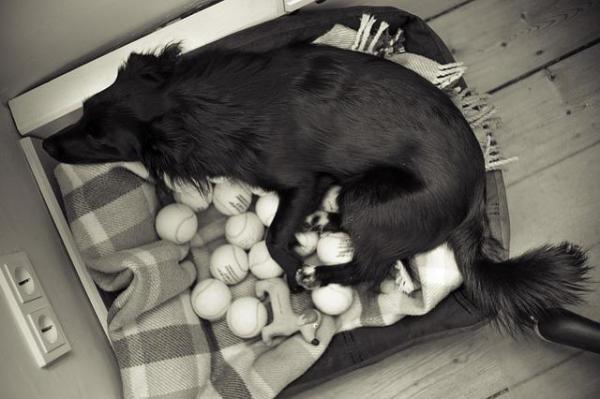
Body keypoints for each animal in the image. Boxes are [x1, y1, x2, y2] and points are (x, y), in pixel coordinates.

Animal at [44, 43, 588, 332]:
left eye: (99, 139)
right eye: (85, 109)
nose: (47, 145)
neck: (197, 100)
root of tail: (475, 202)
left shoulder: (302, 181)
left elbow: (272, 237)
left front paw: (290, 269)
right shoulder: (313, 184)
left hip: (370, 197)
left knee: (369, 268)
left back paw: (319, 274)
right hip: (356, 193)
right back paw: (326, 223)